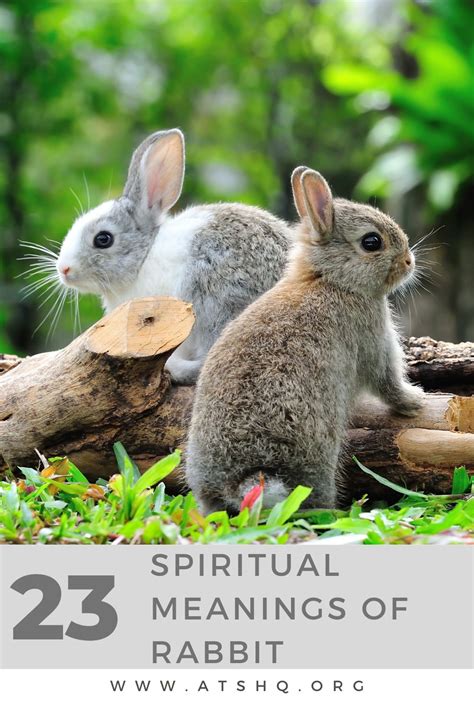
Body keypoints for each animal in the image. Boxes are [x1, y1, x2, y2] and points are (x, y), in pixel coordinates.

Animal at [185, 166, 425, 514]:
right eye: (372, 242)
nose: (409, 261)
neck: (331, 280)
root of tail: (243, 479)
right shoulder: (373, 340)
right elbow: (388, 383)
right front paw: (415, 401)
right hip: (317, 458)